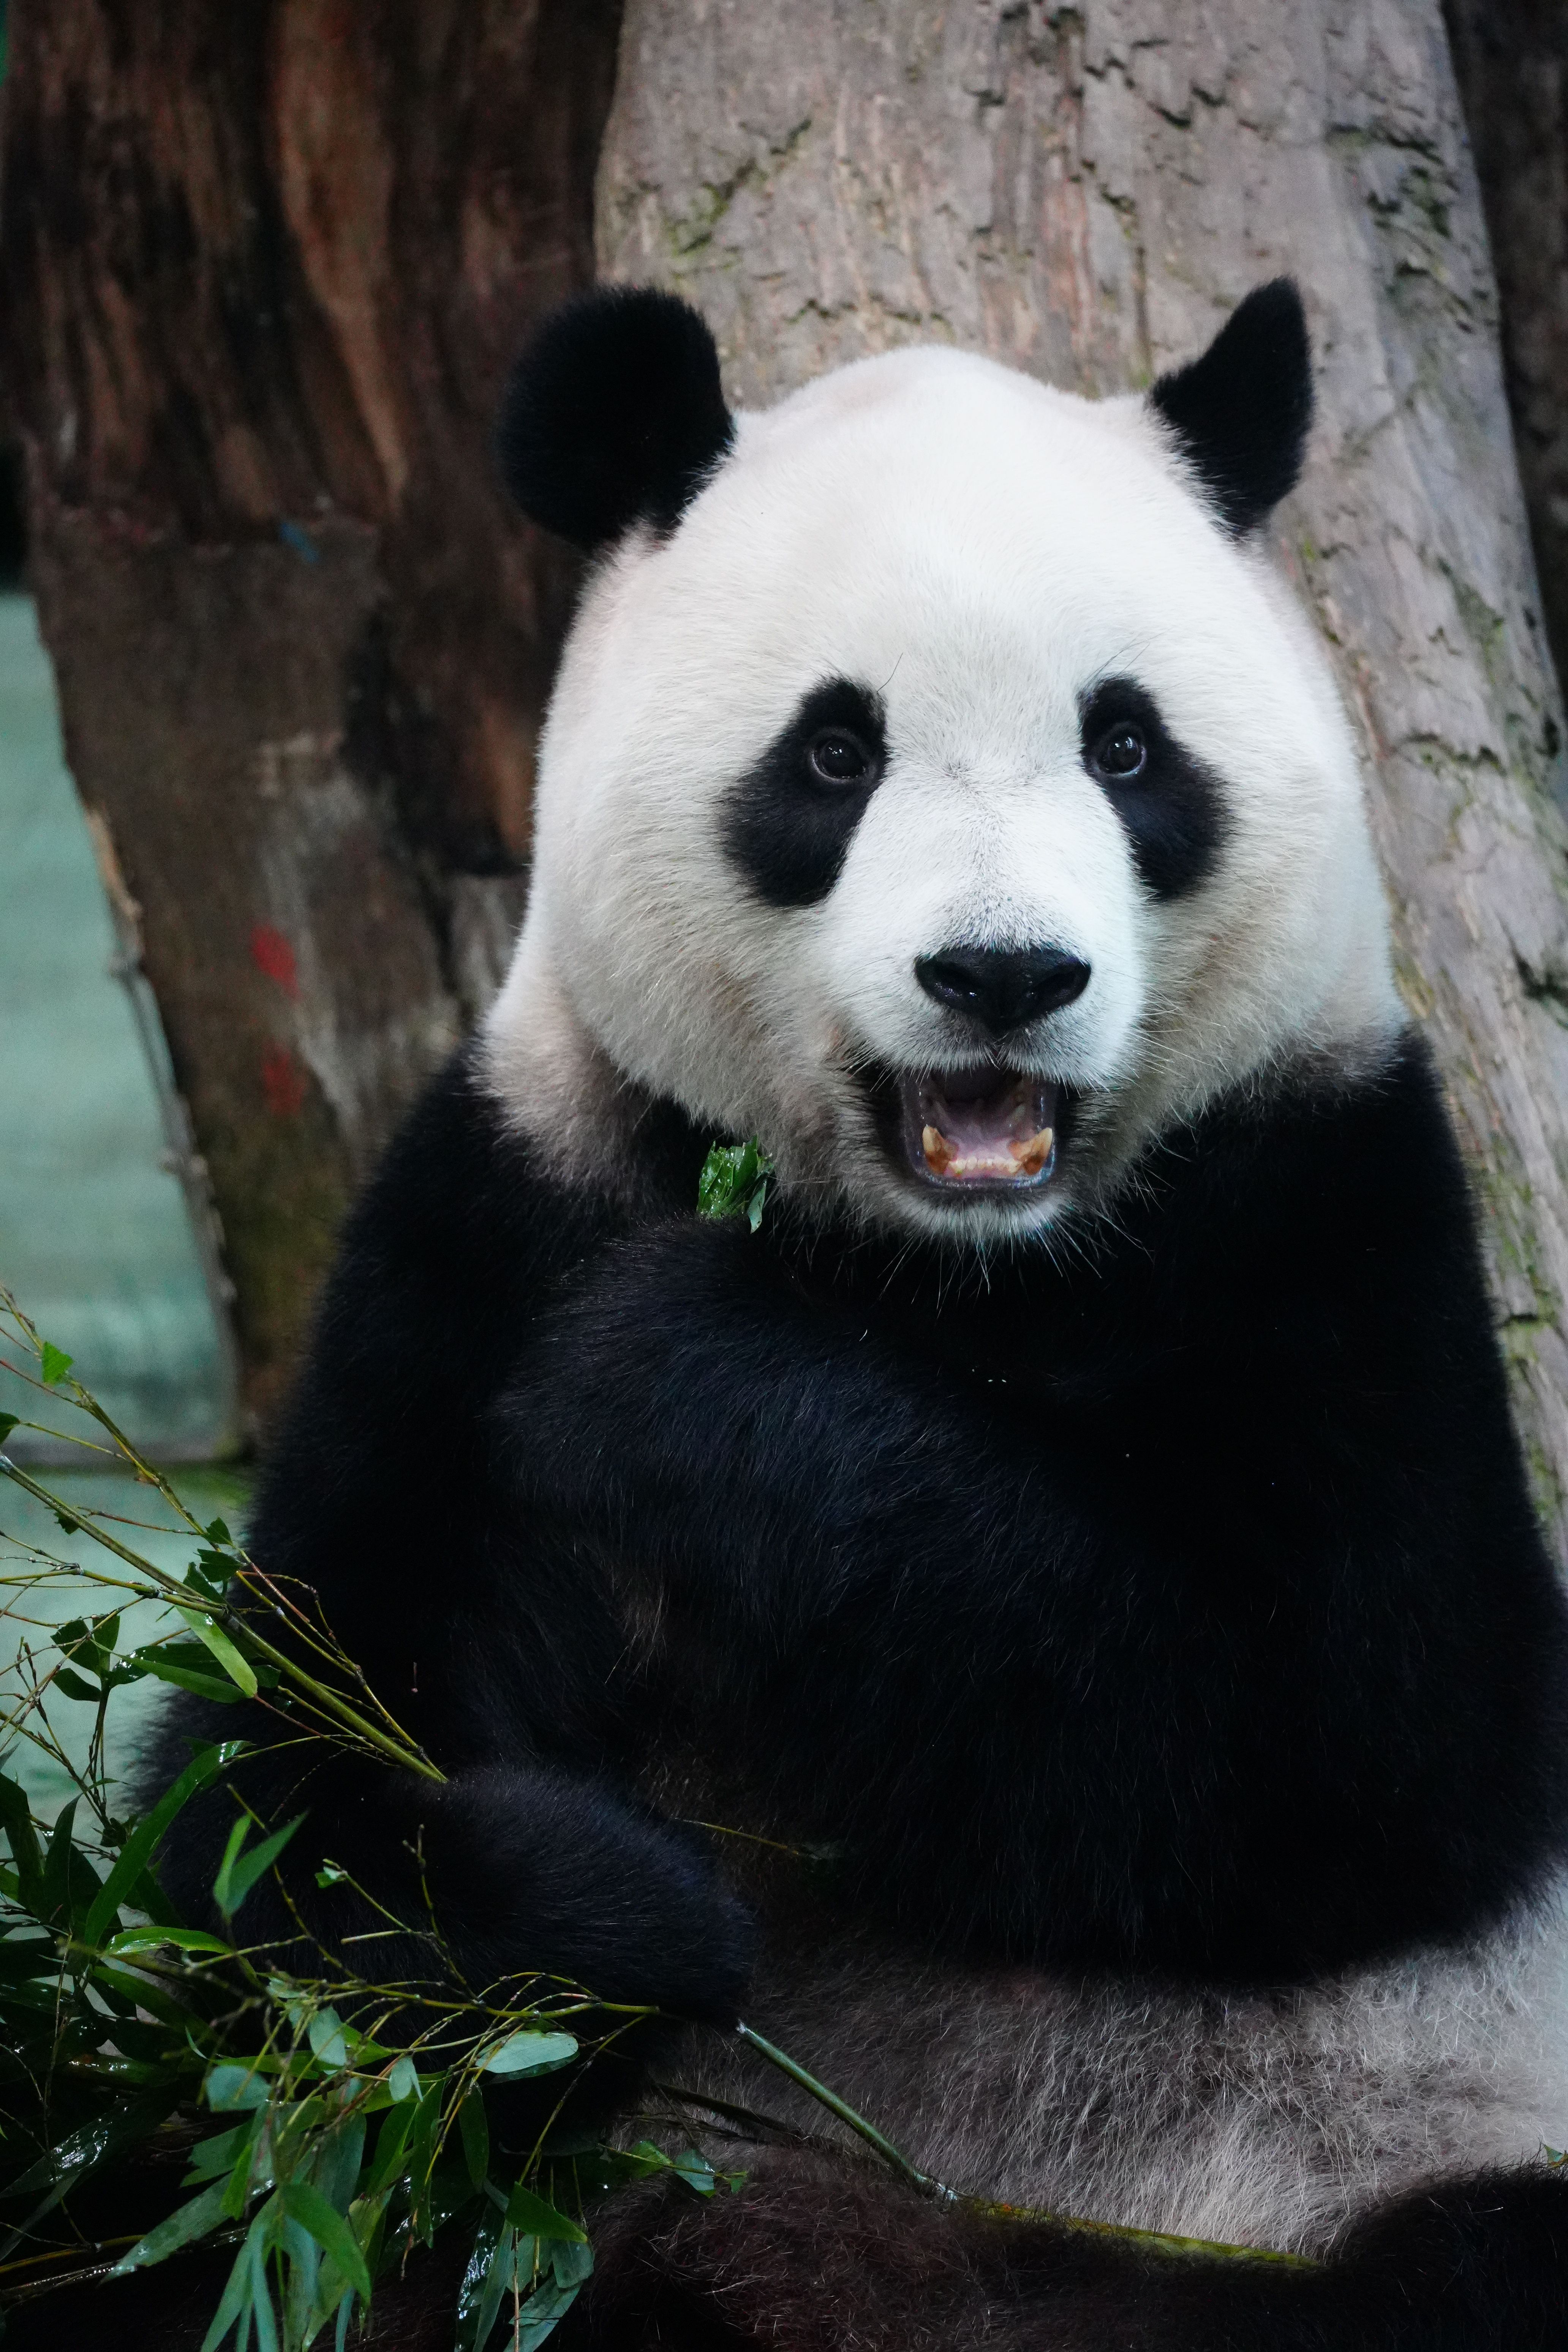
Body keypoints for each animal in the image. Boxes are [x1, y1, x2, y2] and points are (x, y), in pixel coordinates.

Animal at [146, 279, 1568, 2348]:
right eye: (832, 756)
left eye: (1125, 744)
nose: (1003, 975)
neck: (944, 1260)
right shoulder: (497, 1210)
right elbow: (264, 1816)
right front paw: (612, 1908)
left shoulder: (1319, 1193)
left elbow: (1353, 1745)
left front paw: (679, 1375)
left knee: (1465, 2261)